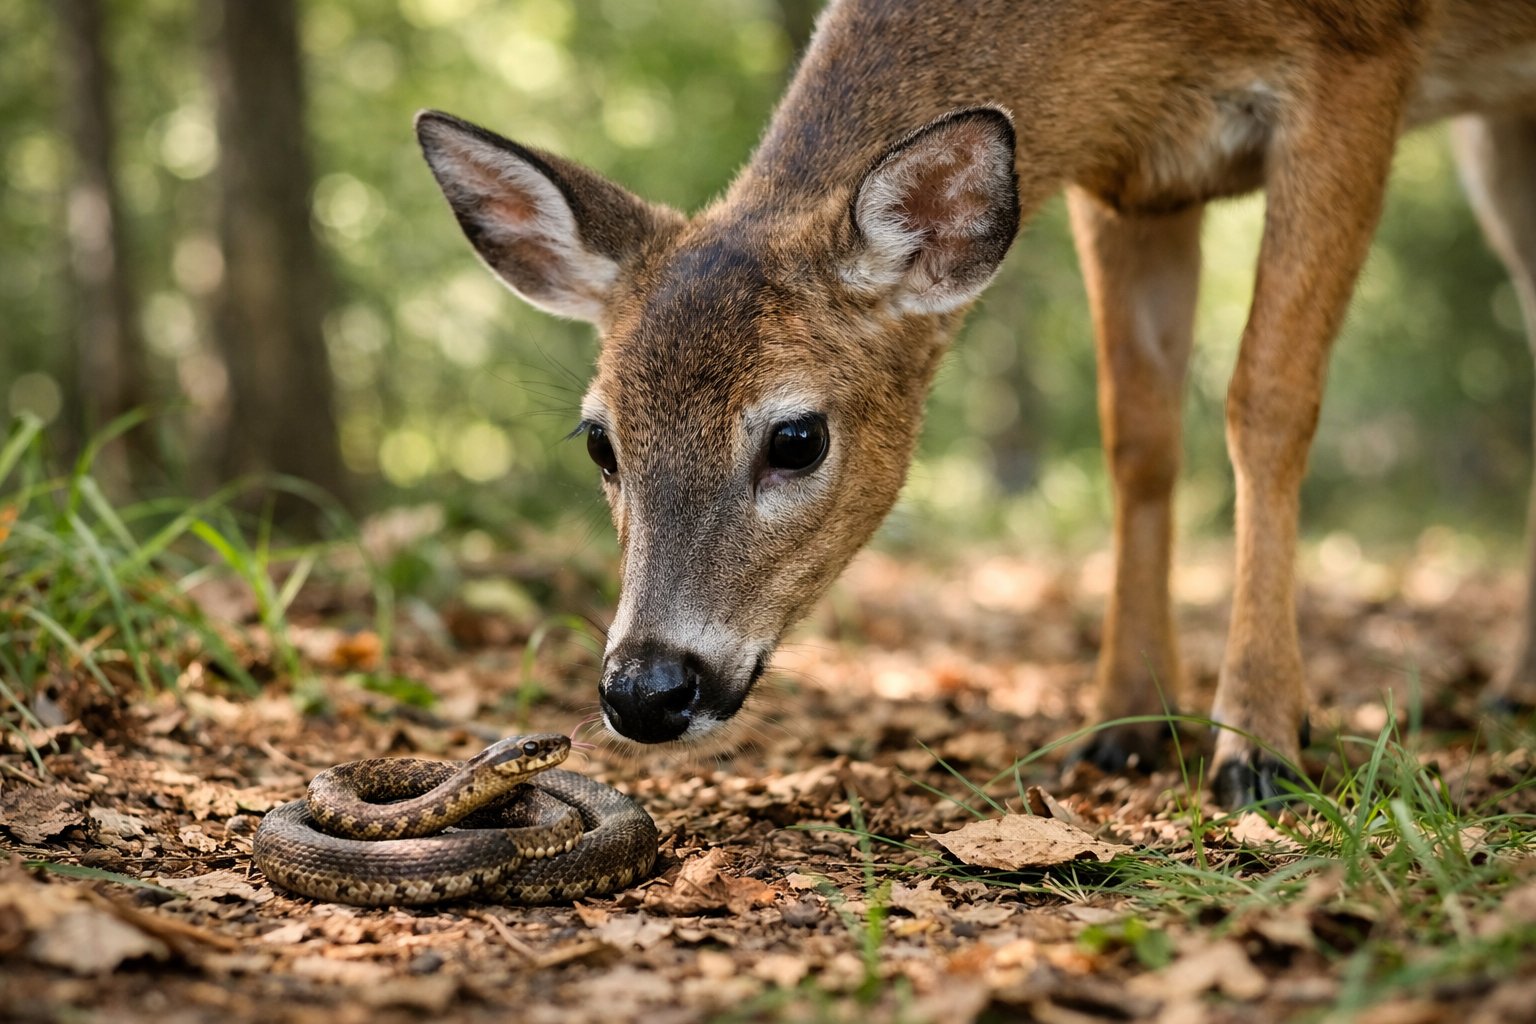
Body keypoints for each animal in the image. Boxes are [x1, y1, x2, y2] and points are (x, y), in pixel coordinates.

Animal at [416, 0, 1536, 808]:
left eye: (797, 437)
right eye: (599, 442)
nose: (646, 690)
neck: (1150, 51)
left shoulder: (1360, 60)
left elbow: (1266, 397)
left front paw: (1259, 739)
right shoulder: (1136, 177)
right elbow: (1138, 432)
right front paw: (1126, 721)